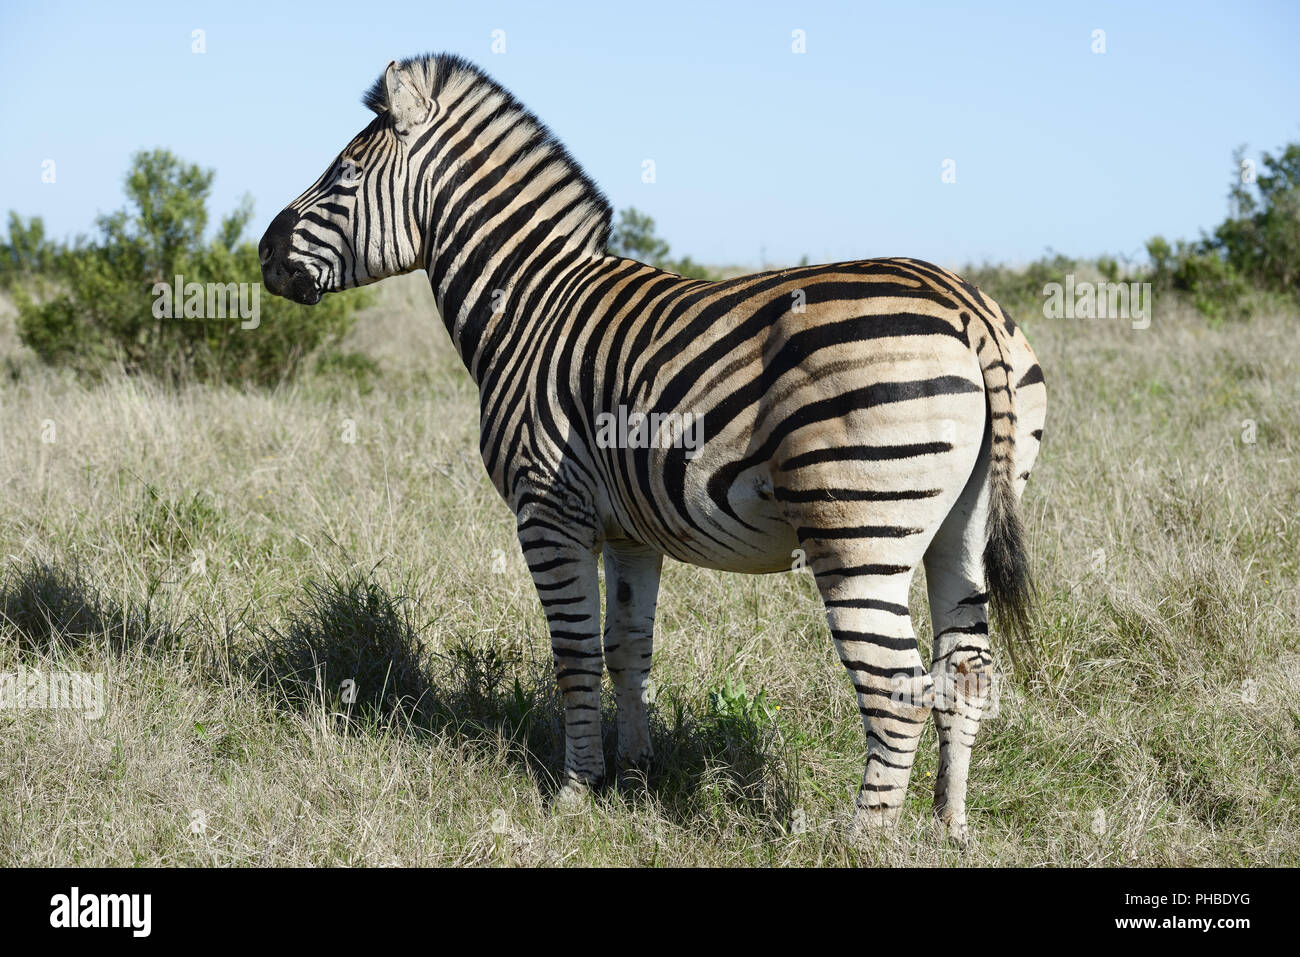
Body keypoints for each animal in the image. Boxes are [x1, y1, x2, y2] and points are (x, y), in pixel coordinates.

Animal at [259, 53, 1047, 843]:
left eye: (344, 175)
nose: (263, 252)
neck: (528, 306)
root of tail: (965, 305)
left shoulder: (549, 511)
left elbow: (575, 652)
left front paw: (575, 789)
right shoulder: (631, 529)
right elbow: (627, 646)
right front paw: (635, 774)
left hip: (858, 527)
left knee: (898, 688)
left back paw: (860, 839)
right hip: (962, 524)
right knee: (966, 672)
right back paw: (950, 825)